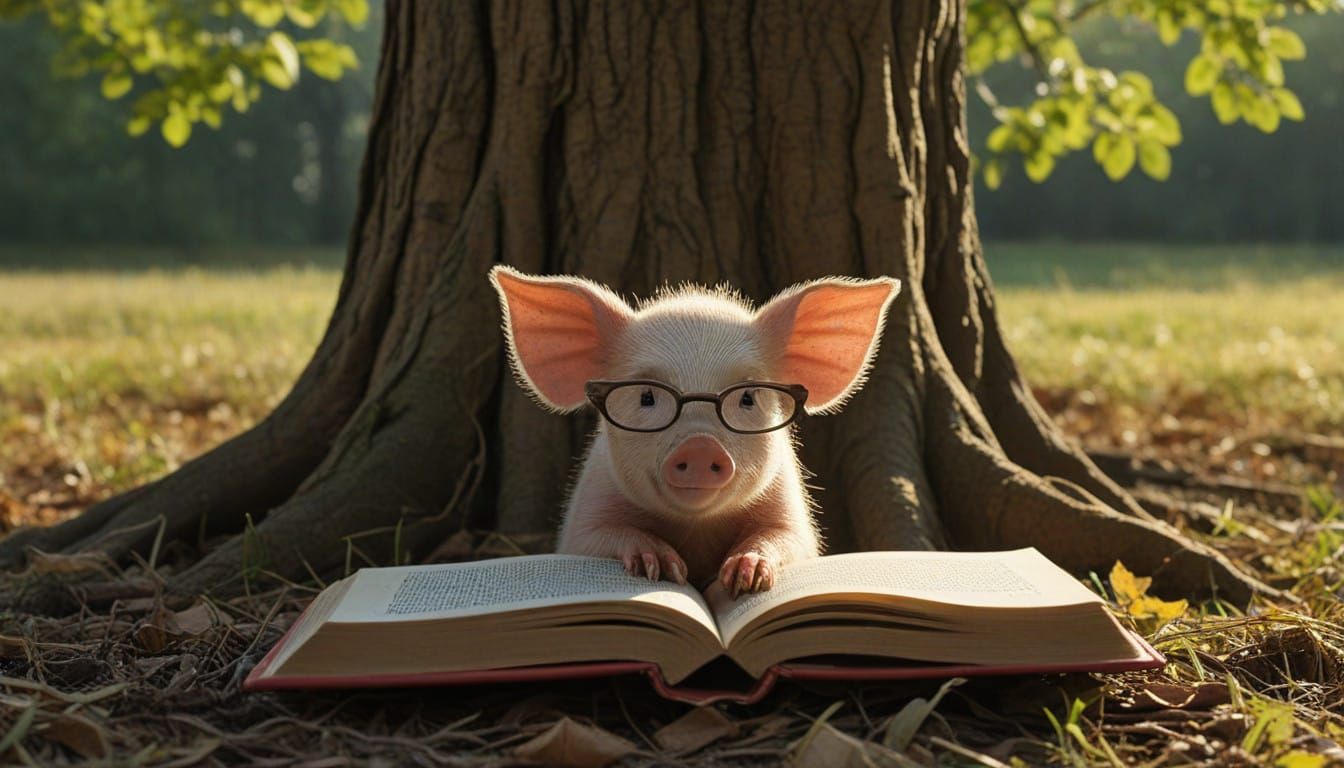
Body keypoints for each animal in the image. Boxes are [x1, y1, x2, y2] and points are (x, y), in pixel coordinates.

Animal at [489, 266, 901, 595]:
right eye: (647, 396)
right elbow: (597, 538)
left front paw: (746, 577)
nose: (701, 446)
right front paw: (662, 566)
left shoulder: (790, 507)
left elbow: (788, 539)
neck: (696, 529)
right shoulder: (586, 510)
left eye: (747, 397)